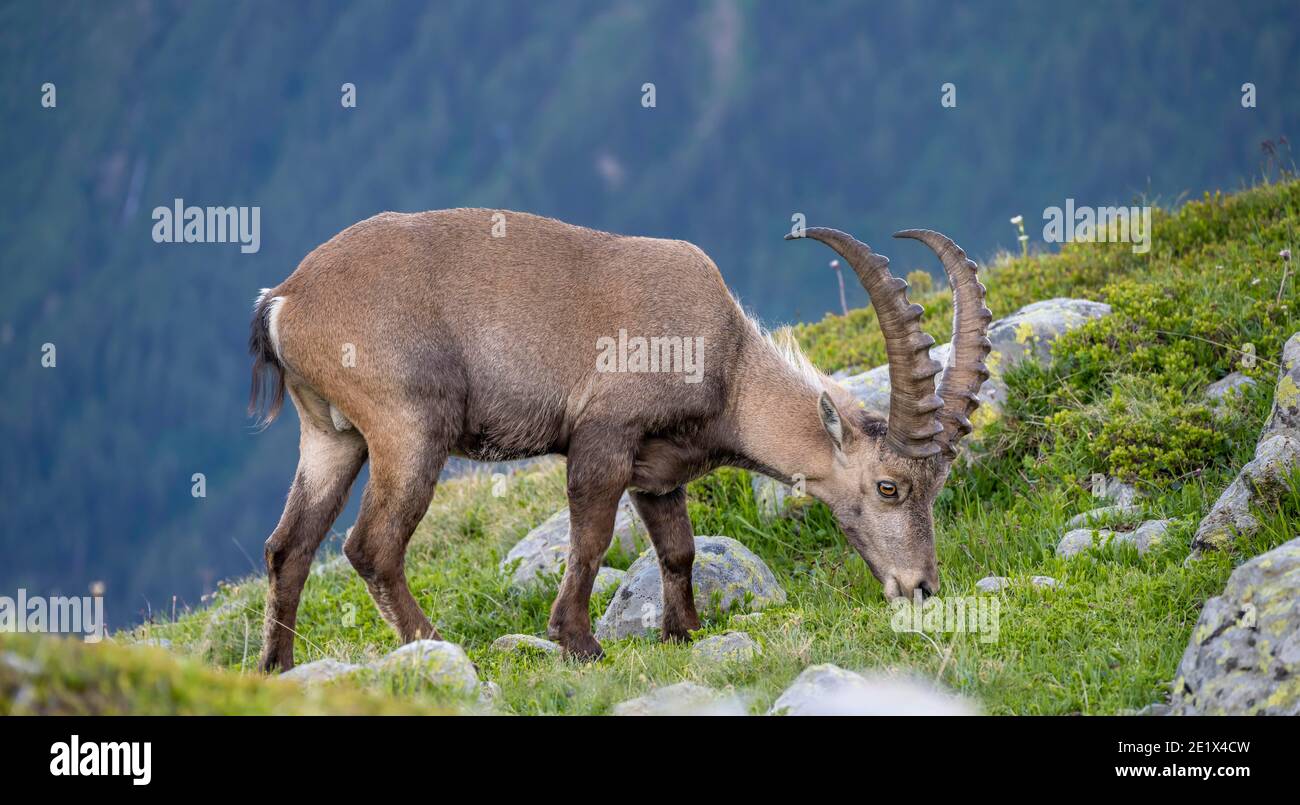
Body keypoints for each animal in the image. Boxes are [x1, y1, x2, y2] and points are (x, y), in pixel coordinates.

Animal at [248, 210, 991, 669]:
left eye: (937, 487)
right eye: (889, 487)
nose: (921, 587)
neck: (725, 365)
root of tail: (285, 300)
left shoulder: (658, 472)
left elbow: (679, 549)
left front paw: (683, 631)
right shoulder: (605, 436)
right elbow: (591, 539)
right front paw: (578, 642)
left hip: (332, 438)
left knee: (289, 546)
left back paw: (277, 667)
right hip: (409, 428)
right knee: (370, 546)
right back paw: (437, 643)